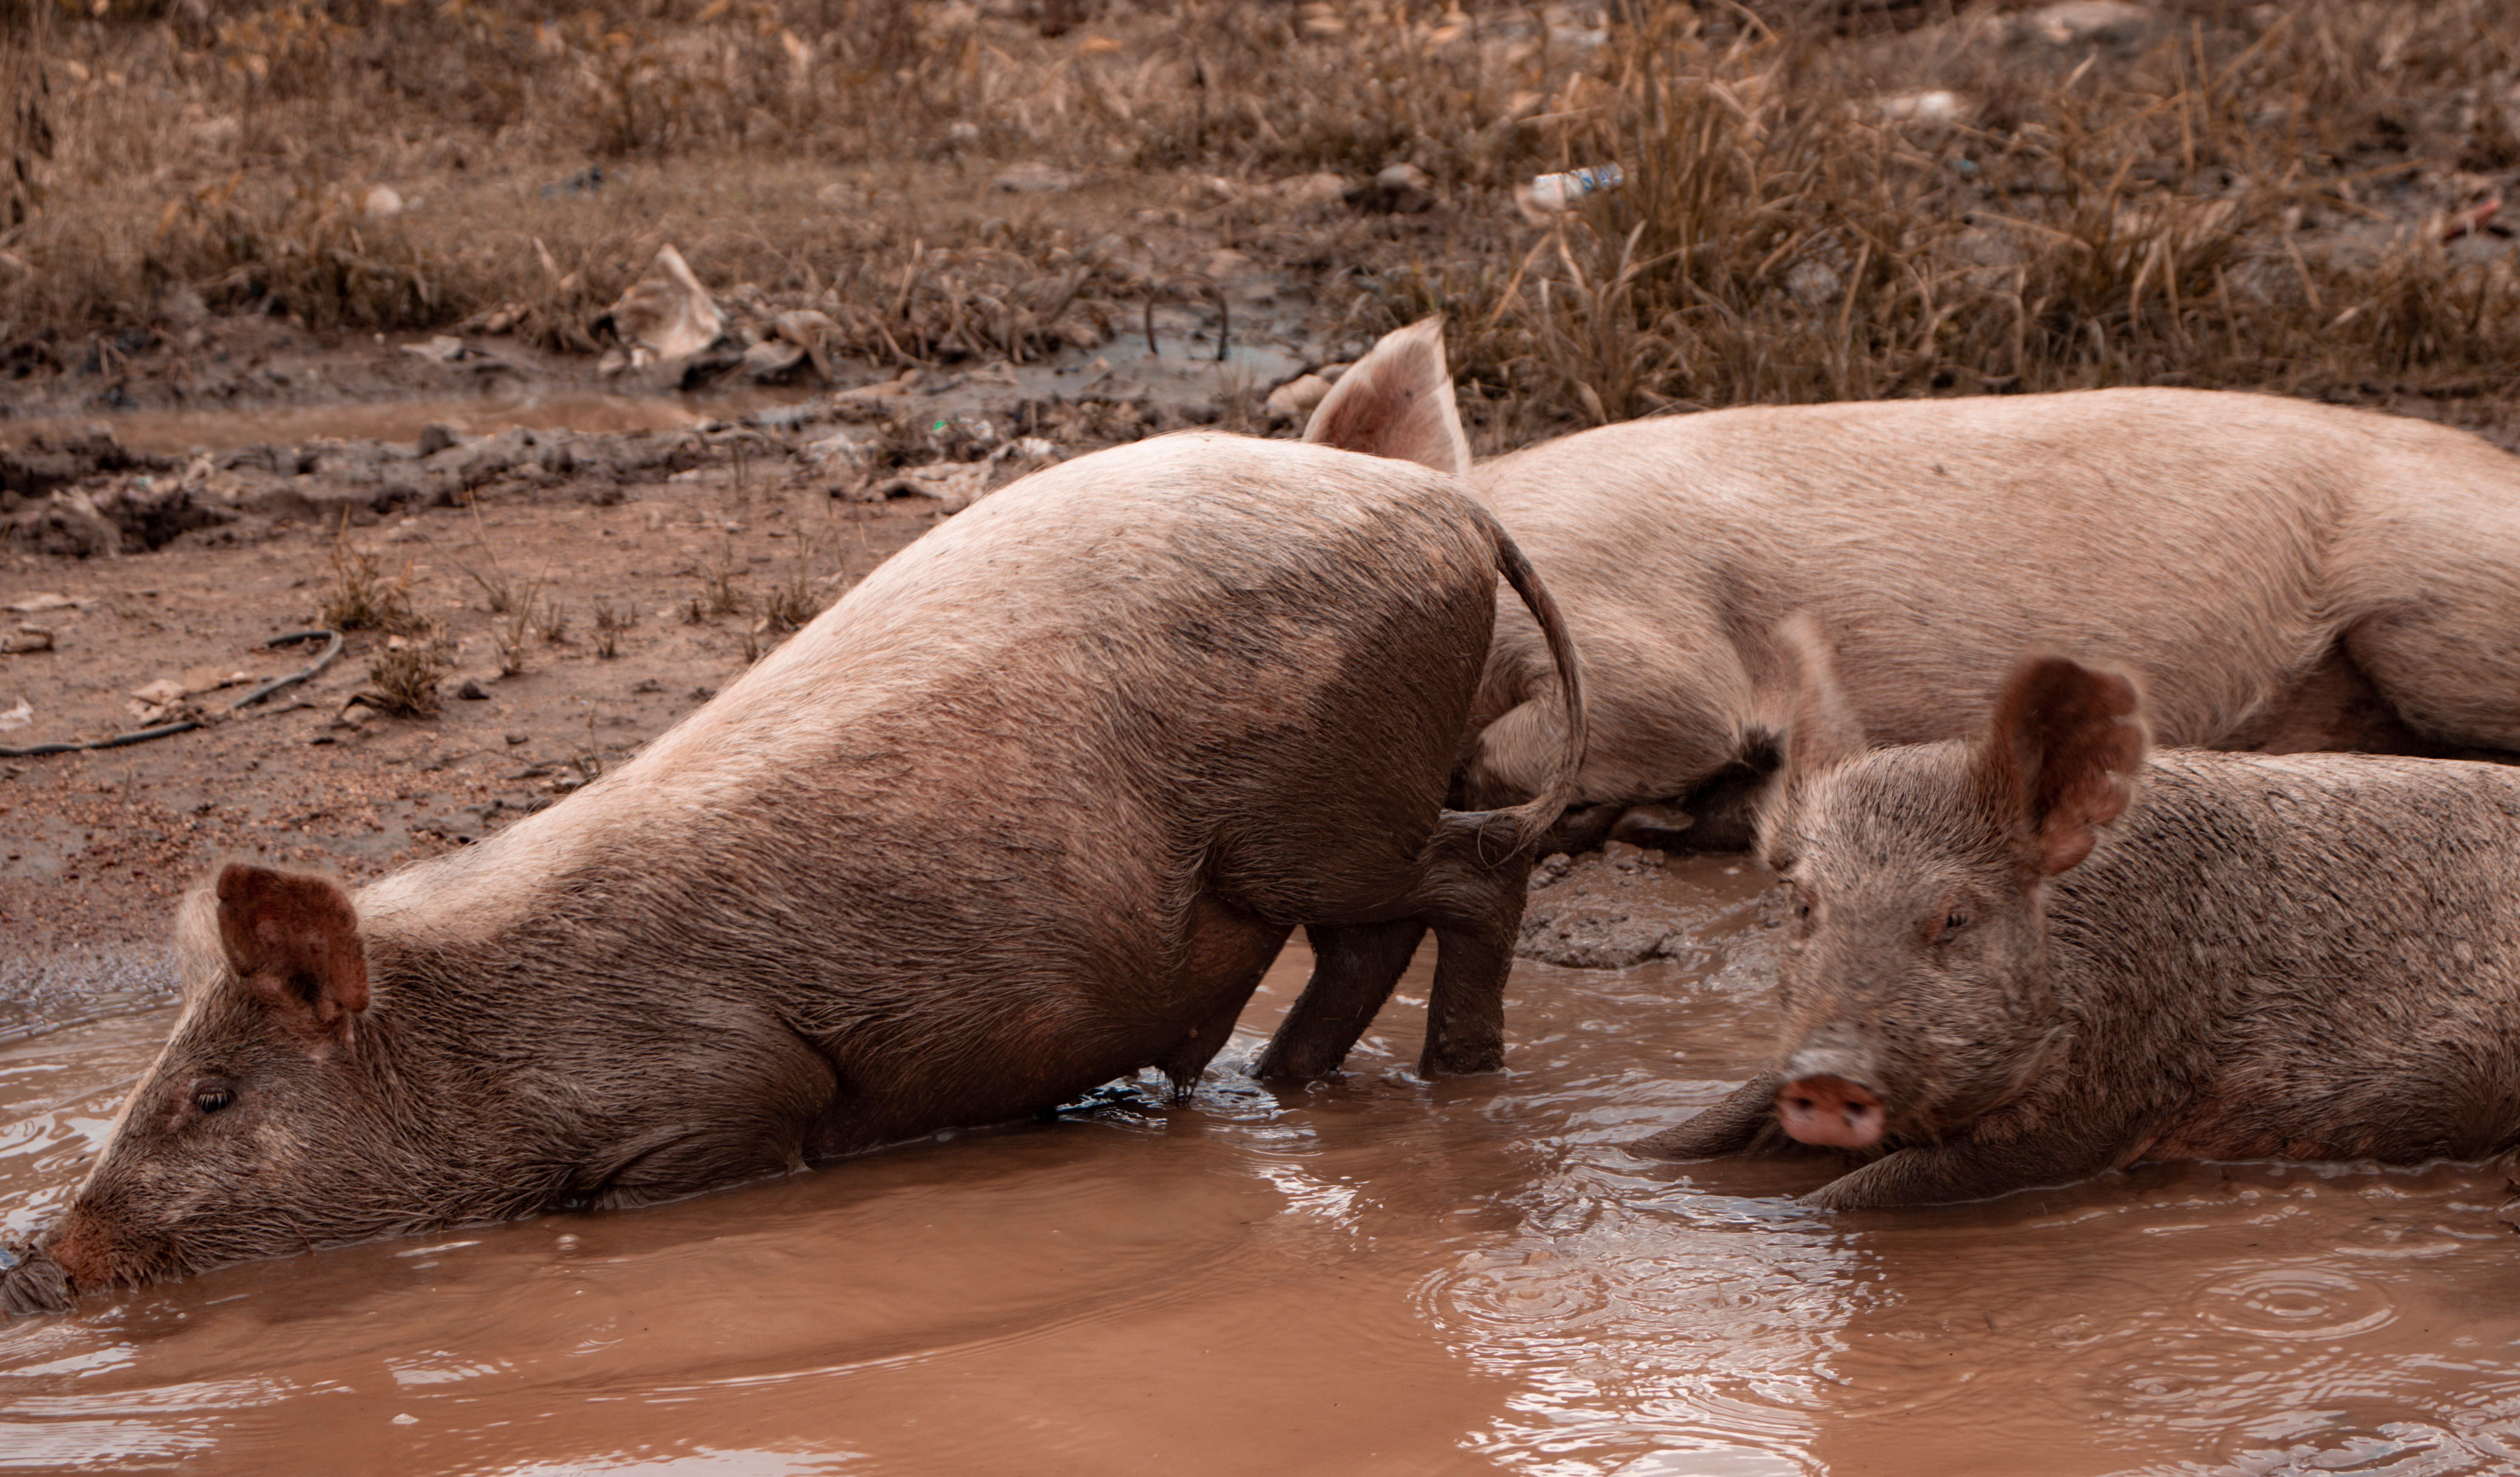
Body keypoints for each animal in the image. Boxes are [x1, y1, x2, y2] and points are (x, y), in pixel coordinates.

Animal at [0, 431, 1585, 1313]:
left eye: (212, 1096)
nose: (38, 1265)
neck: (473, 1040)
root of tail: (1449, 508)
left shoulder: (724, 1084)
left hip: (1322, 814)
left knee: (1479, 879)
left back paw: (1443, 1079)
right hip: (1328, 828)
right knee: (1386, 930)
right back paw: (1283, 1087)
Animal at [1635, 625, 2520, 1209]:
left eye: (1955, 916)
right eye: (1804, 904)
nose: (1828, 1074)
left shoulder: (2106, 1091)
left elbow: (1851, 1197)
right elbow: (1699, 1126)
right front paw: (1637, 1154)